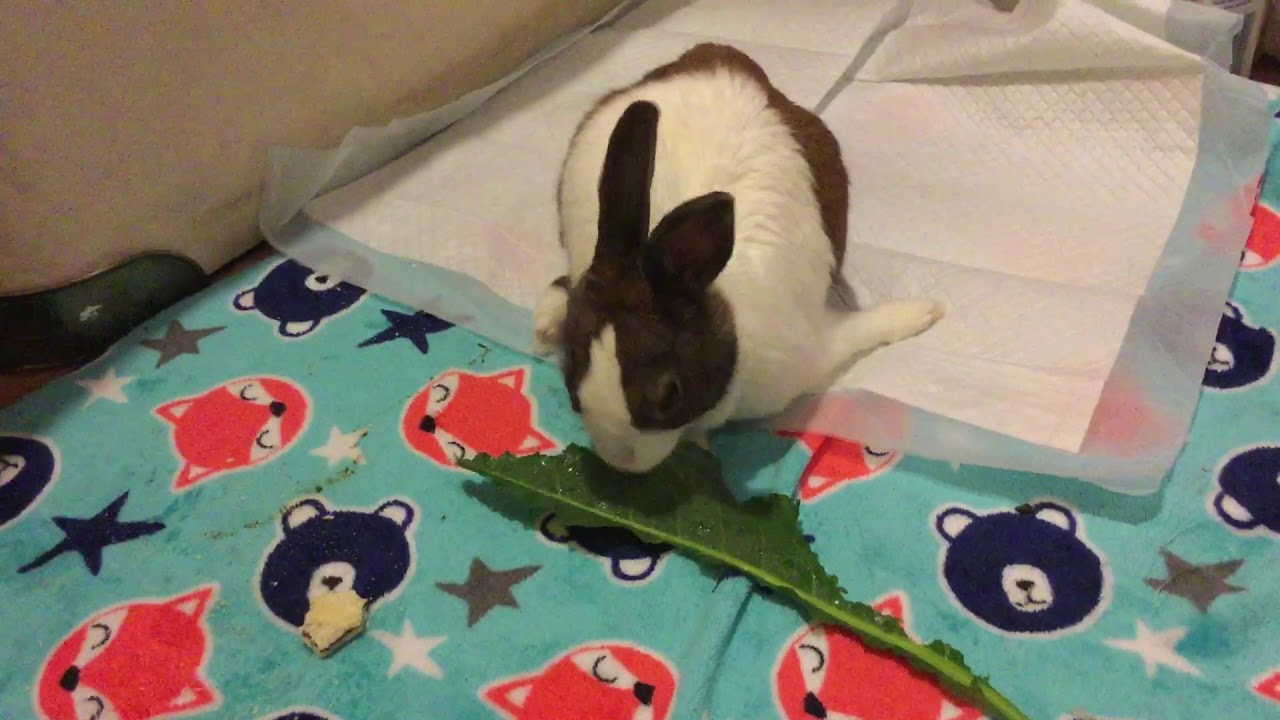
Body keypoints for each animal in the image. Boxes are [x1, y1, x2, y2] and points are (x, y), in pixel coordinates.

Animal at [532, 43, 942, 473]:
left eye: (670, 395)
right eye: (571, 386)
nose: (622, 463)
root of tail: (719, 56)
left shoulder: (813, 354)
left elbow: (865, 328)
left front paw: (923, 312)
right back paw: (545, 324)